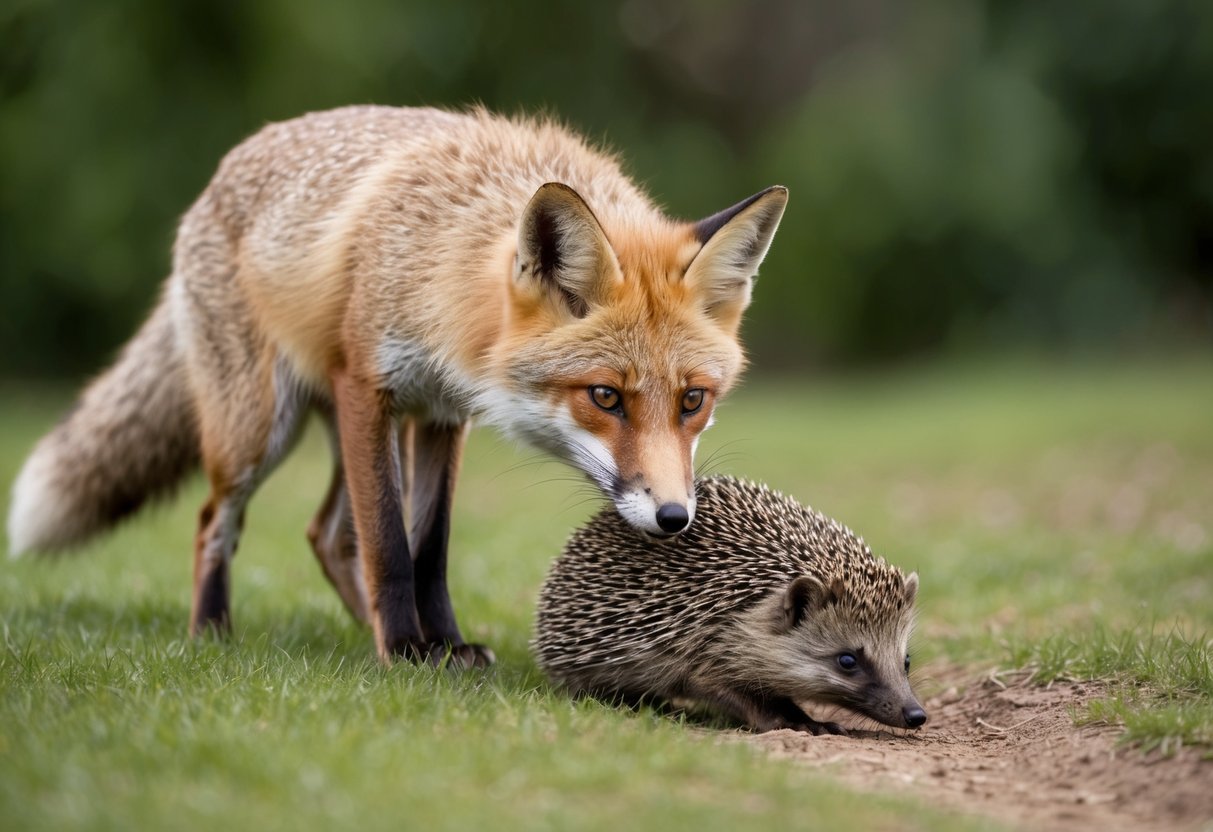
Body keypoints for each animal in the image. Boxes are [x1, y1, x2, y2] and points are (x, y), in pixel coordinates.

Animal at [7, 105, 788, 665]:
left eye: (693, 401)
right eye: (604, 397)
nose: (674, 518)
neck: (439, 267)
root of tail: (222, 171)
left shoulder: (441, 413)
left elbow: (429, 546)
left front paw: (440, 644)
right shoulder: (369, 387)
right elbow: (389, 539)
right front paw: (408, 648)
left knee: (326, 535)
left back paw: (365, 628)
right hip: (260, 428)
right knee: (215, 521)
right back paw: (216, 632)